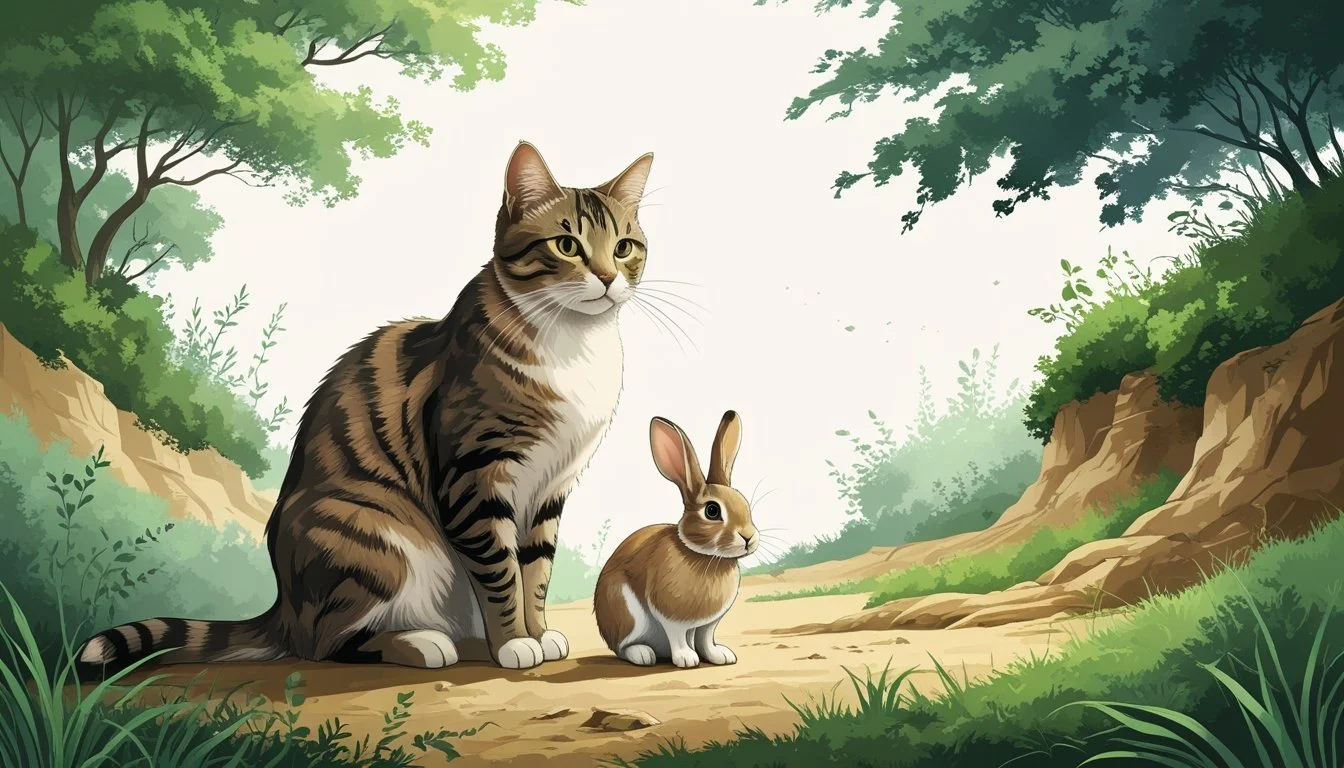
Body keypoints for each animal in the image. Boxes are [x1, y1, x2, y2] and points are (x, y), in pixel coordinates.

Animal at [594, 410, 759, 668]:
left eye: (745, 505)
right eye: (712, 511)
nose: (749, 537)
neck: (704, 555)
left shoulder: (708, 624)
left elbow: (706, 639)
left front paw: (719, 656)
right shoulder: (671, 617)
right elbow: (678, 637)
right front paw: (686, 659)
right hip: (627, 613)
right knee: (622, 647)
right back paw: (643, 655)